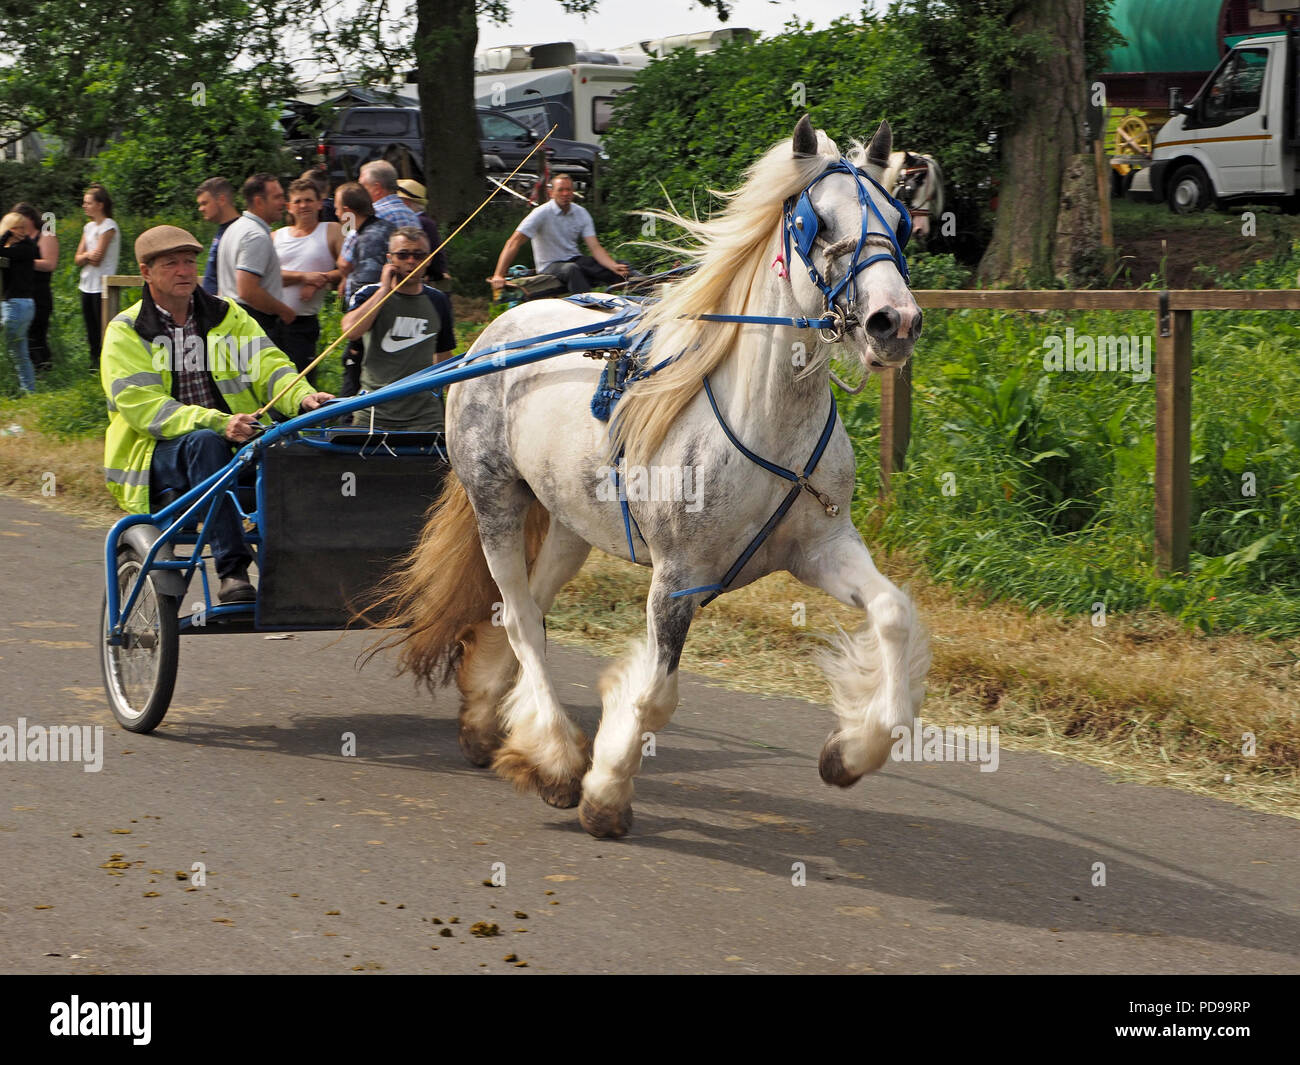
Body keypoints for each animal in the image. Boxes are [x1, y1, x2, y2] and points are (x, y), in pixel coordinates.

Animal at [368, 116, 931, 838]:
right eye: (819, 222)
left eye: (899, 219)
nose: (896, 321)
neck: (765, 417)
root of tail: (497, 330)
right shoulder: (678, 576)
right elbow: (658, 692)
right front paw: (605, 791)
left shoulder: (822, 547)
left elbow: (893, 612)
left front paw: (852, 751)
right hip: (496, 501)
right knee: (520, 617)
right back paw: (554, 758)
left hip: (571, 525)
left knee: (530, 610)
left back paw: (487, 717)